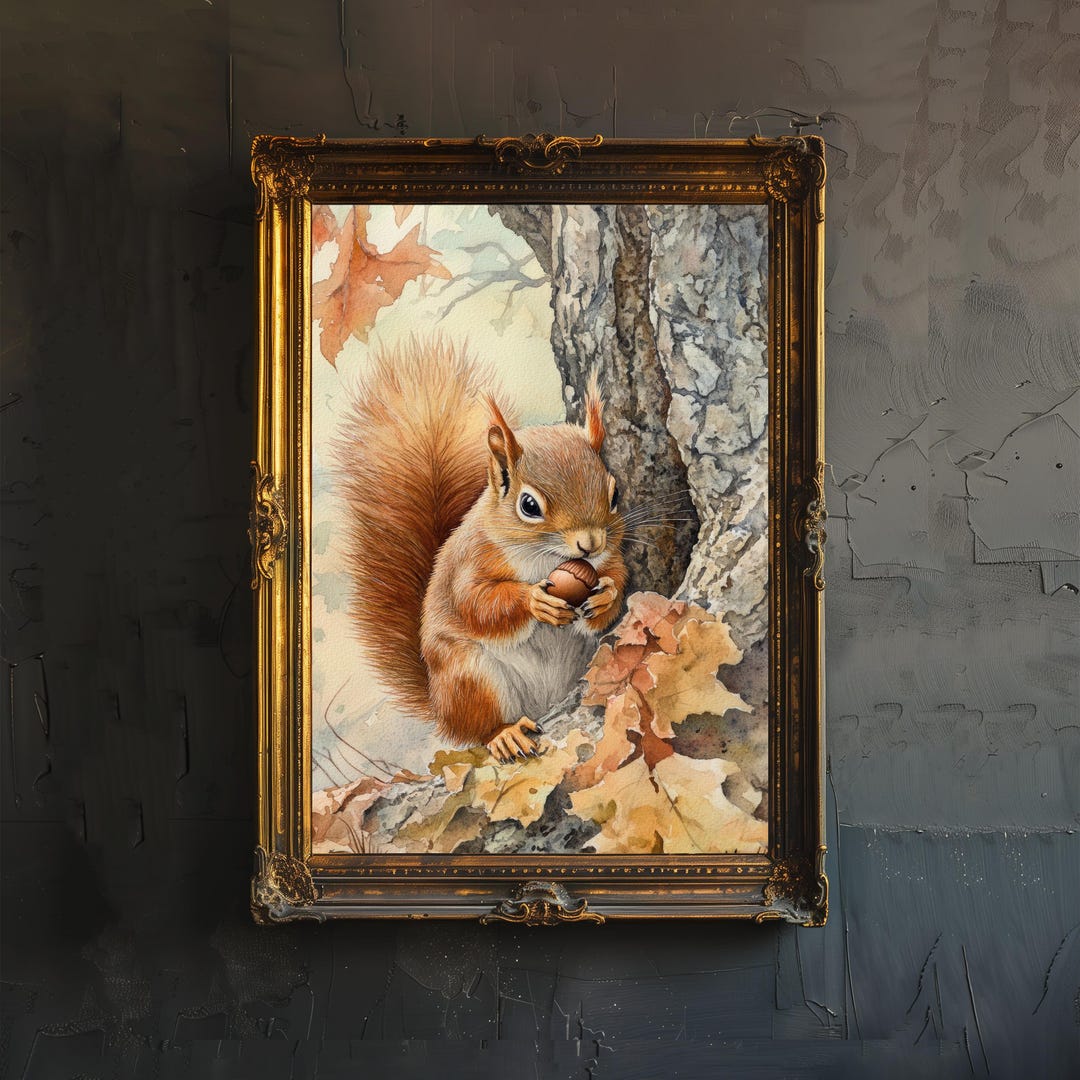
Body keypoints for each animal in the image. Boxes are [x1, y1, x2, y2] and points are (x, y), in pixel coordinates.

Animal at [334, 337, 627, 764]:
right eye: (529, 505)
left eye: (615, 493)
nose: (590, 544)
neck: (544, 559)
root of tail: (440, 707)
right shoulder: (471, 561)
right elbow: (476, 602)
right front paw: (534, 601)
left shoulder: (611, 554)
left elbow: (618, 574)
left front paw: (606, 596)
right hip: (470, 676)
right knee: (478, 726)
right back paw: (504, 733)